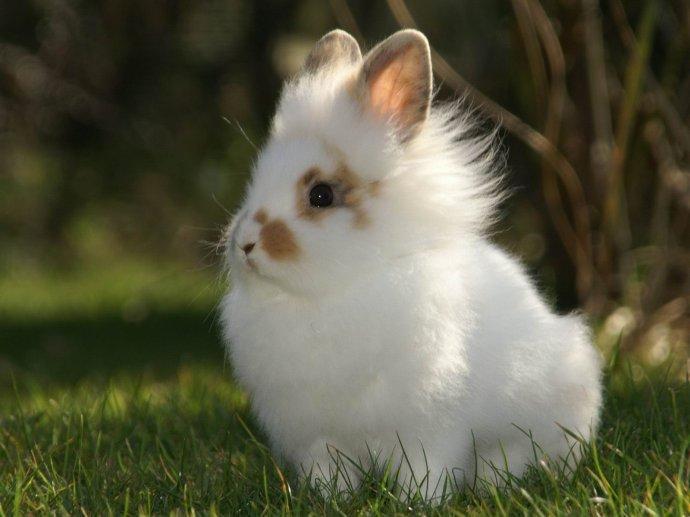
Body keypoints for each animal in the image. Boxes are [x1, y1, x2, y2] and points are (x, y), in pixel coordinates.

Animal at [220, 28, 602, 500]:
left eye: (321, 195)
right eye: (255, 181)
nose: (244, 244)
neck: (330, 292)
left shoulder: (430, 427)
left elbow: (426, 466)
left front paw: (419, 501)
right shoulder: (319, 437)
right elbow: (328, 471)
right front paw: (330, 499)